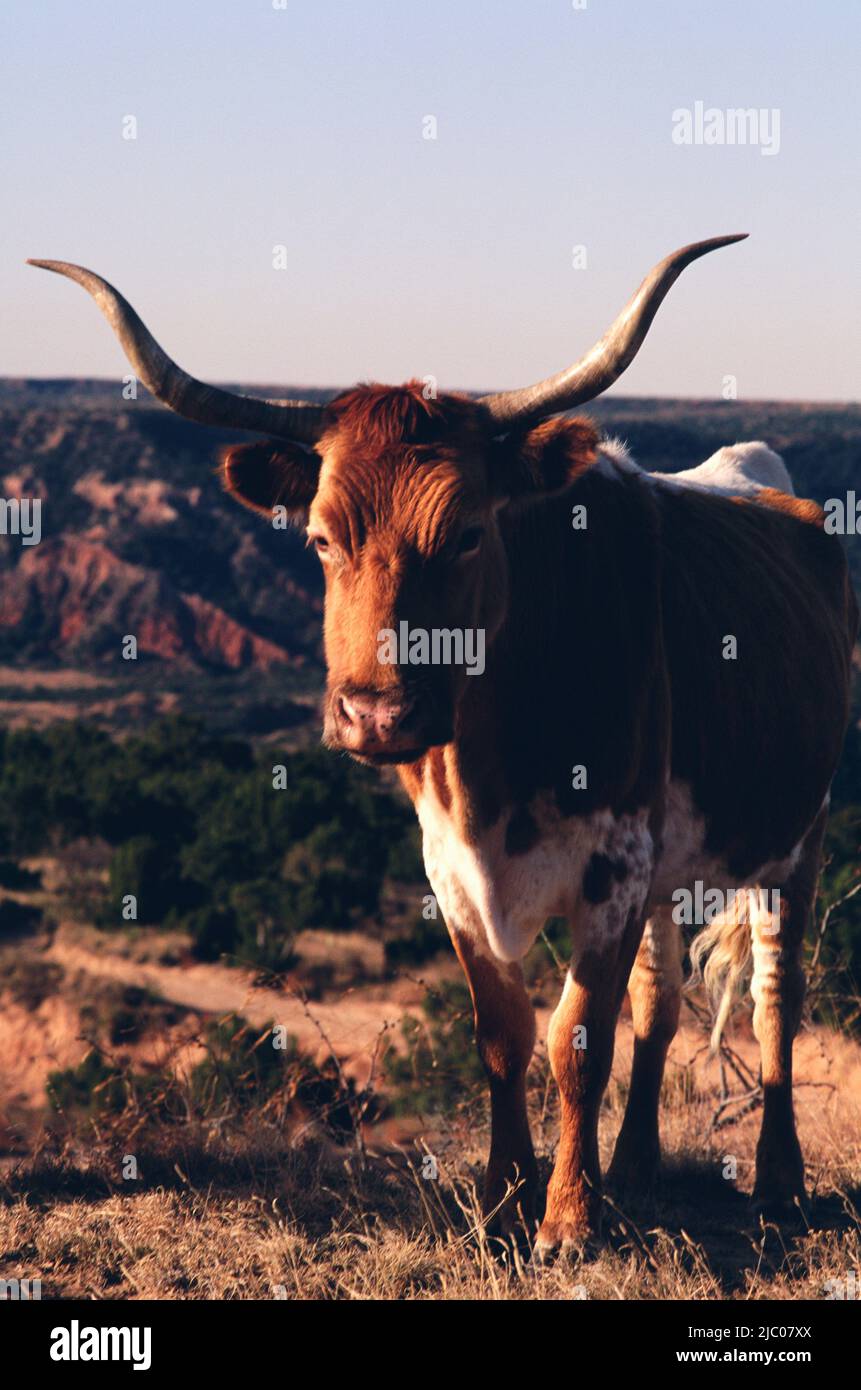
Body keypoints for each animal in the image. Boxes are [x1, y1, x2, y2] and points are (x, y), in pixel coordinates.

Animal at [29, 237, 857, 1258]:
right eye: (318, 538)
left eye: (466, 534)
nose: (375, 715)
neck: (490, 759)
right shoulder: (455, 870)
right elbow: (503, 1035)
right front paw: (505, 1204)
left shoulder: (613, 864)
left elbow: (574, 1040)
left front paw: (568, 1222)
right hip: (677, 866)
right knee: (661, 1003)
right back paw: (633, 1167)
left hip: (798, 837)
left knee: (778, 996)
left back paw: (776, 1182)